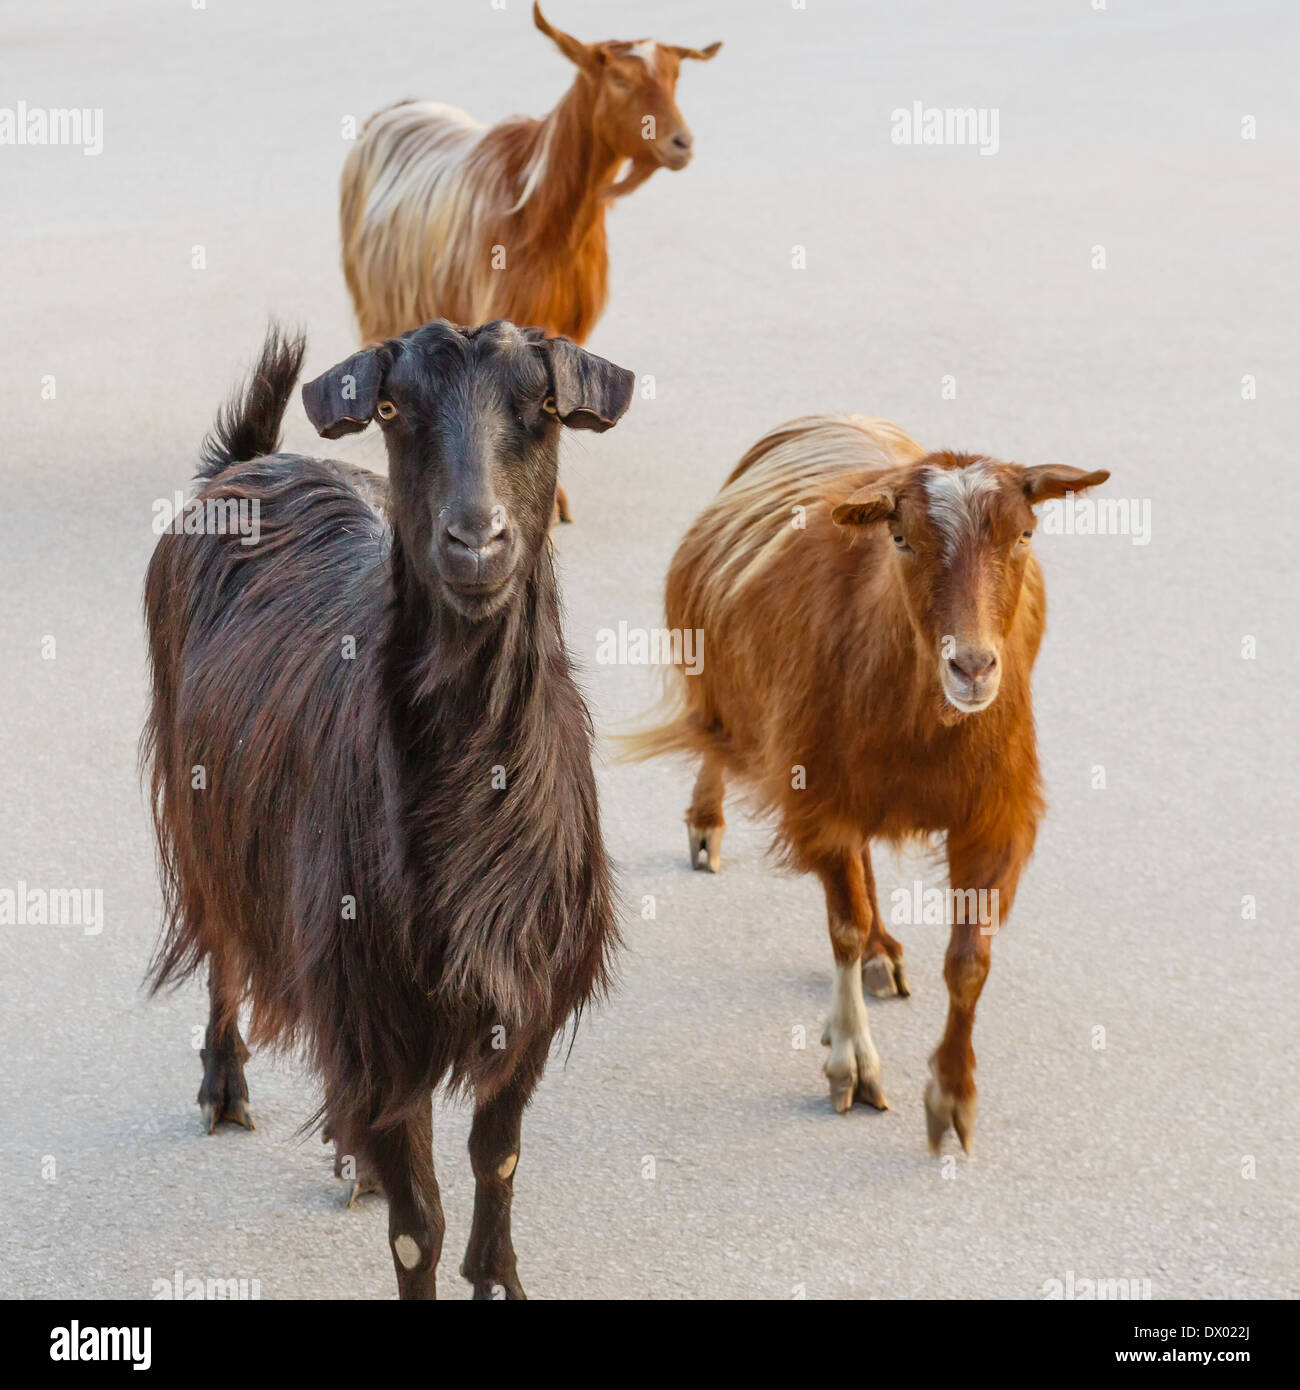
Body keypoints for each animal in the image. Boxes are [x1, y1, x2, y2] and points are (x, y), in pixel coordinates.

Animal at [142, 318, 634, 1298]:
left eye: (545, 404)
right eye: (395, 410)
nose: (475, 540)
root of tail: (247, 461)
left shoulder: (526, 995)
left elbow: (496, 1158)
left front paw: (501, 1280)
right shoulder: (369, 992)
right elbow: (420, 1226)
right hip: (201, 809)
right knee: (221, 942)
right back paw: (224, 1089)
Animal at [622, 414, 1108, 1153]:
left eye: (1025, 535)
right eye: (900, 538)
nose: (972, 668)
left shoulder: (994, 815)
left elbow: (968, 960)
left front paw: (953, 1097)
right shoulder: (818, 796)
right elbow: (842, 929)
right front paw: (852, 1063)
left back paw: (886, 952)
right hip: (724, 691)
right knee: (717, 741)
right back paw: (707, 825)